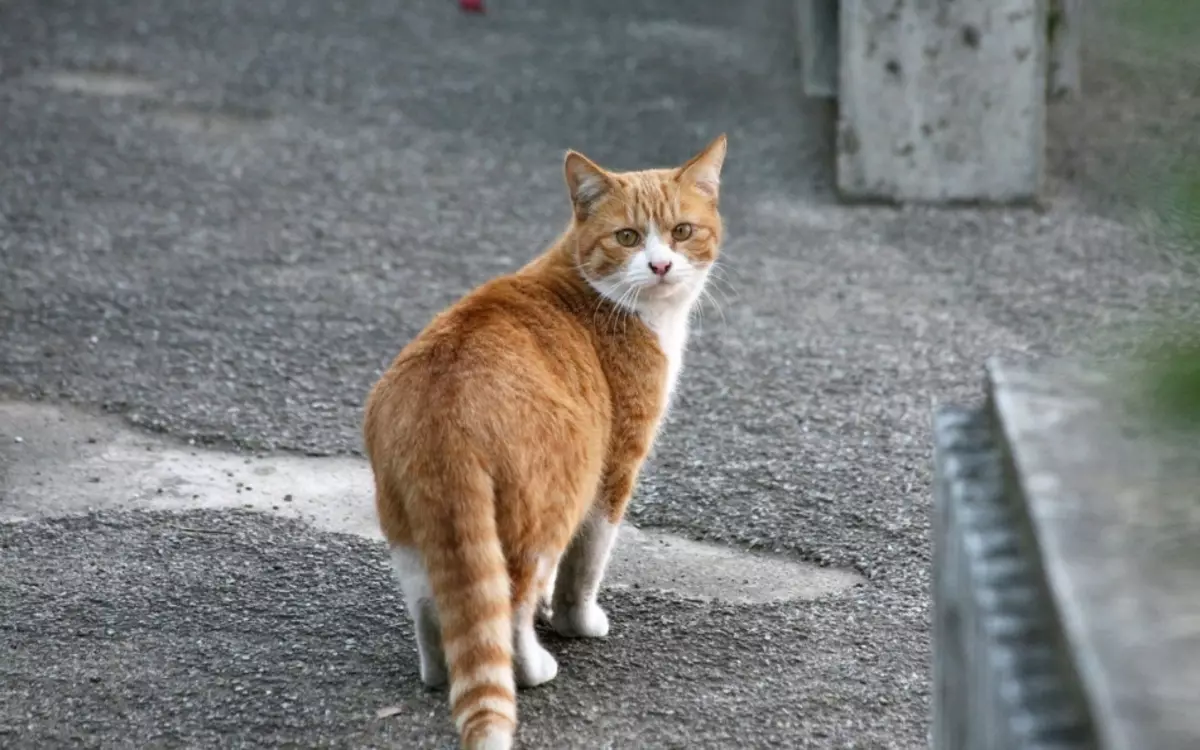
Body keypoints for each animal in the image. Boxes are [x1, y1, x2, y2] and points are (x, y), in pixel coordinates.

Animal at [360, 134, 724, 748]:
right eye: (628, 237)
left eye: (681, 231)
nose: (660, 265)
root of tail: (446, 410)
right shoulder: (614, 466)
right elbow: (585, 564)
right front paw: (576, 621)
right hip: (547, 506)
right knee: (507, 610)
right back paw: (532, 667)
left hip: (408, 525)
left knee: (434, 606)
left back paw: (438, 671)